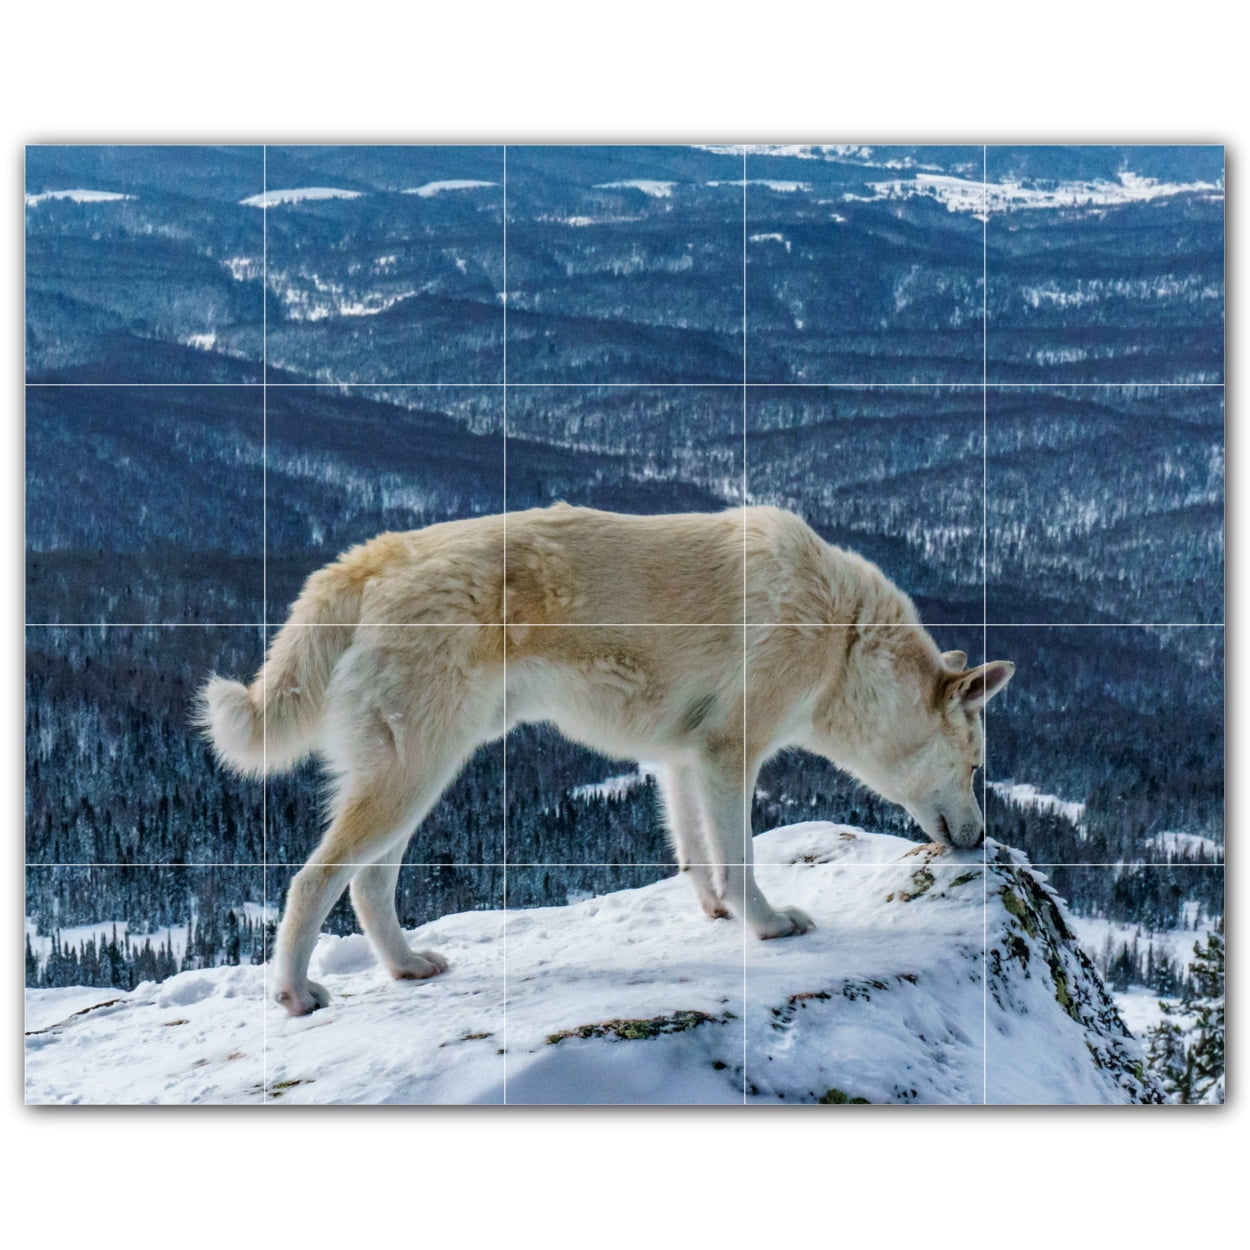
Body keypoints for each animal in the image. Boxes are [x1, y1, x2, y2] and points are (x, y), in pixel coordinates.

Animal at [200, 504, 1014, 1015]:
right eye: (977, 767)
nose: (980, 839)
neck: (843, 634)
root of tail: (370, 560)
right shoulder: (730, 756)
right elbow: (741, 860)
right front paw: (766, 926)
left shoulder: (684, 761)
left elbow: (699, 859)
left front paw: (719, 915)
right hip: (413, 776)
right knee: (312, 883)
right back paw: (295, 996)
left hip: (422, 776)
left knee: (368, 885)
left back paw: (406, 966)